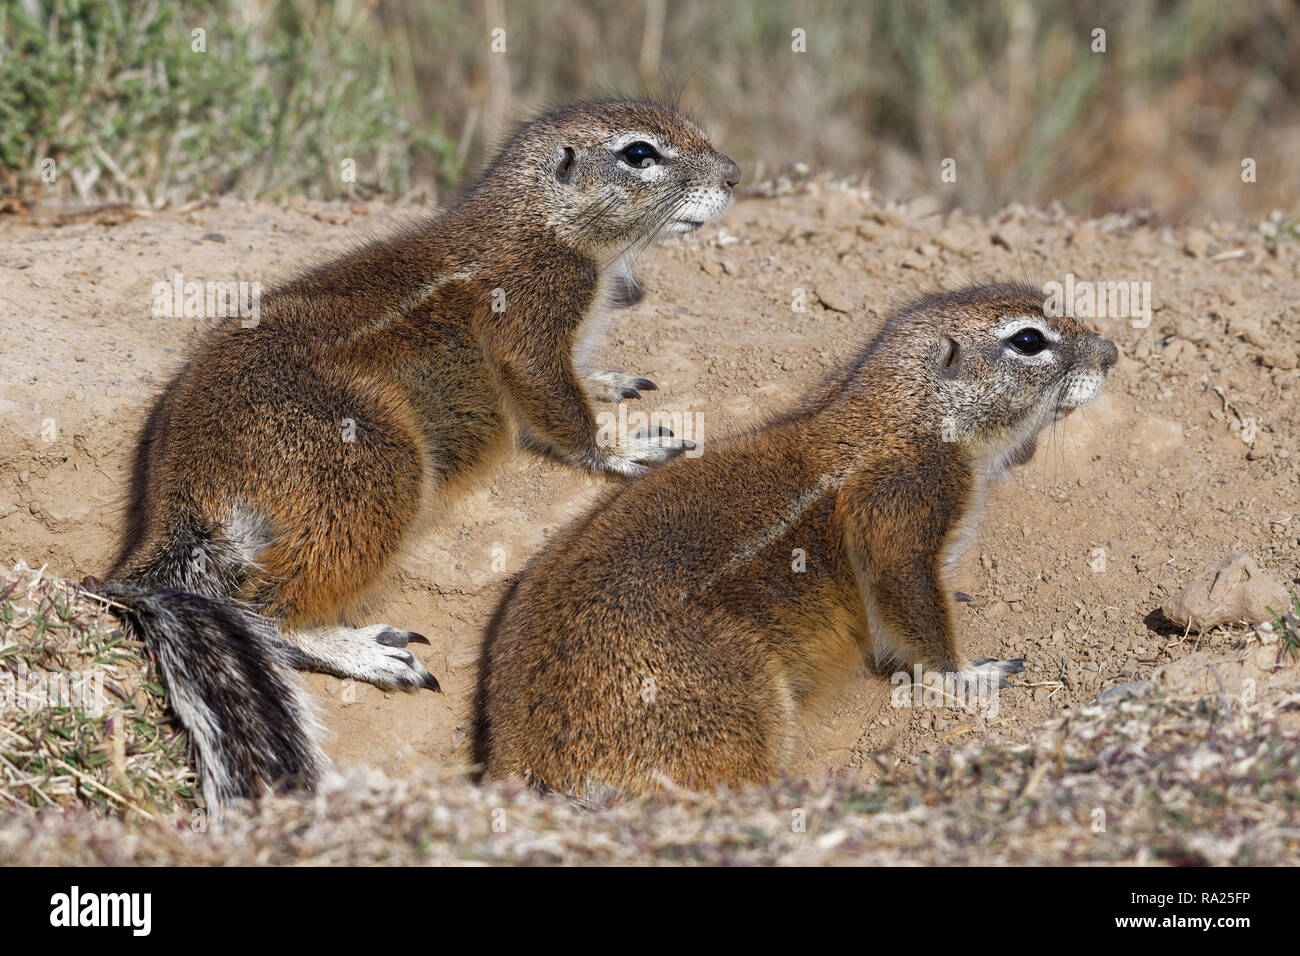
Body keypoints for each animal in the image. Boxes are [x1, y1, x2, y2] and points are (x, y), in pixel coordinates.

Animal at [95, 100, 741, 808]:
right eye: (639, 155)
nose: (735, 175)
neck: (541, 224)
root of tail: (189, 486)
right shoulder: (534, 320)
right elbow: (557, 405)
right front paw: (621, 445)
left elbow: (576, 380)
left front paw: (608, 382)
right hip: (377, 468)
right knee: (269, 613)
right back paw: (367, 652)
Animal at [472, 282, 1119, 799]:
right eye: (1029, 340)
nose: (1112, 353)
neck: (909, 414)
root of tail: (517, 756)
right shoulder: (904, 502)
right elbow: (908, 595)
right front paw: (971, 674)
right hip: (741, 697)